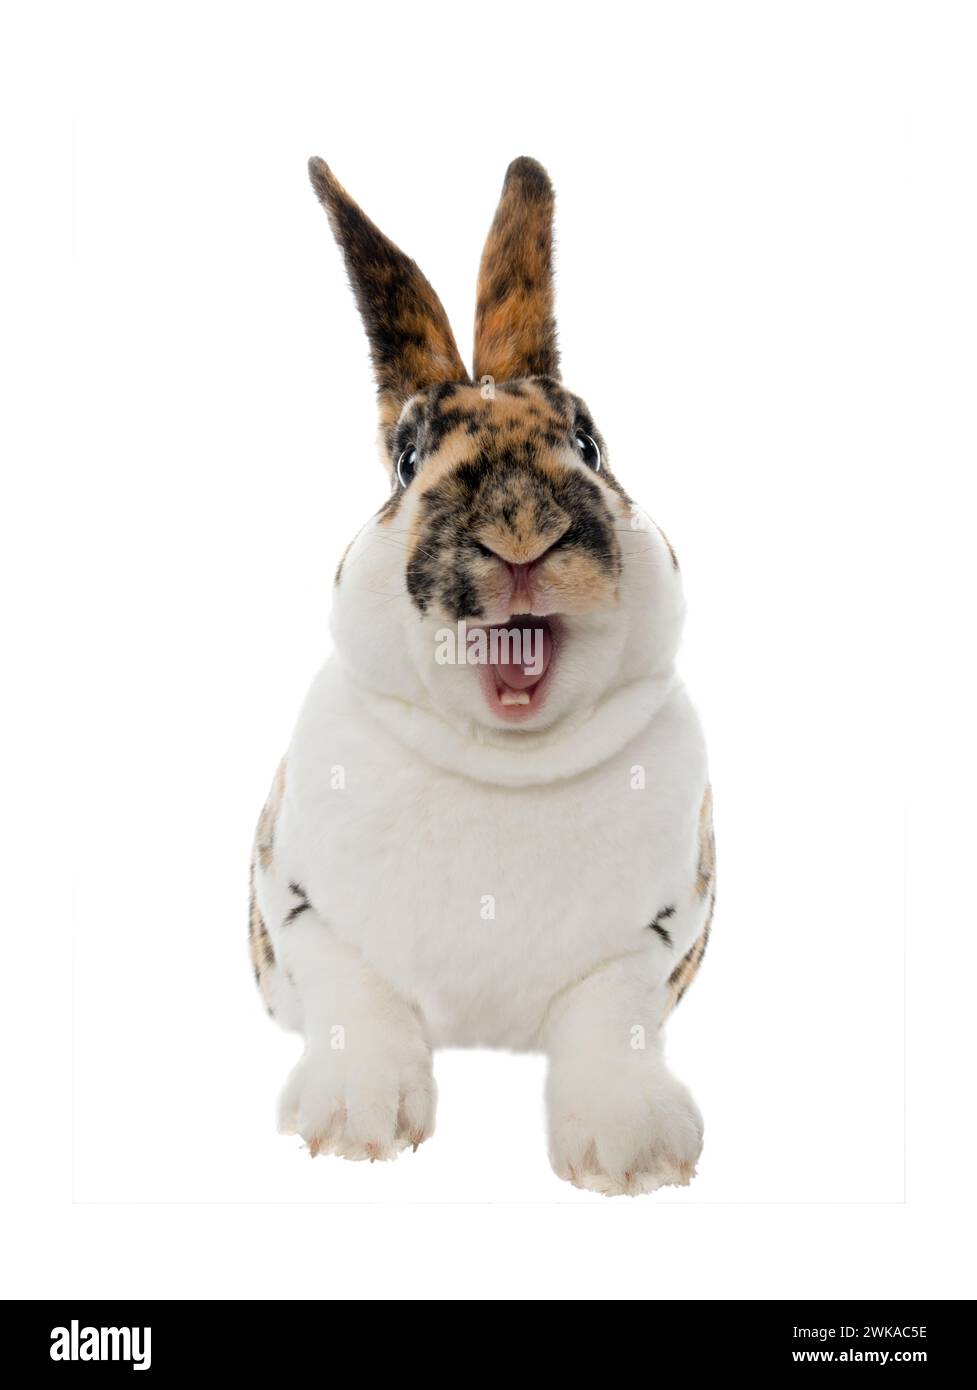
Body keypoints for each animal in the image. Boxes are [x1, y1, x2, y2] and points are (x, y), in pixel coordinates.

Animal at [248, 155, 715, 1195]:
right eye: (407, 459)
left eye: (588, 444)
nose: (518, 527)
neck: (507, 763)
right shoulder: (299, 909)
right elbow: (355, 992)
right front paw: (354, 1126)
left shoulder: (654, 937)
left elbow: (609, 1019)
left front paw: (634, 1154)